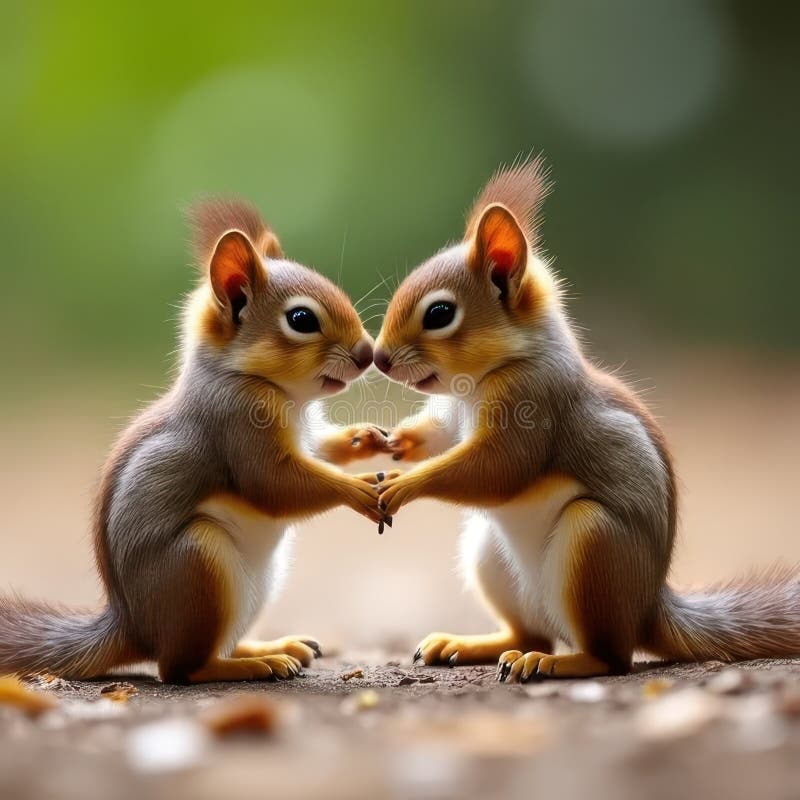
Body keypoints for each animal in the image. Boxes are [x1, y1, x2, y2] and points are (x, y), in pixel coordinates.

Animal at [0, 198, 394, 684]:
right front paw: (359, 491)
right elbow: (274, 485)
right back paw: (255, 664)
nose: (366, 353)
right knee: (180, 667)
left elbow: (319, 451)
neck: (281, 393)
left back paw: (268, 648)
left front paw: (368, 438)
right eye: (301, 319)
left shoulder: (305, 437)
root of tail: (133, 628)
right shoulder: (237, 425)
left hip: (255, 587)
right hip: (198, 565)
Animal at [373, 158, 800, 681]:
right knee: (529, 633)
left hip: (594, 546)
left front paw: (403, 484)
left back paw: (555, 663)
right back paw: (469, 645)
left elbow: (499, 469)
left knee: (608, 657)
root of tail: (647, 609)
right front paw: (389, 441)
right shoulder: (455, 415)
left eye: (439, 312)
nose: (379, 359)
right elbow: (438, 436)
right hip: (488, 554)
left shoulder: (534, 404)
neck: (480, 379)